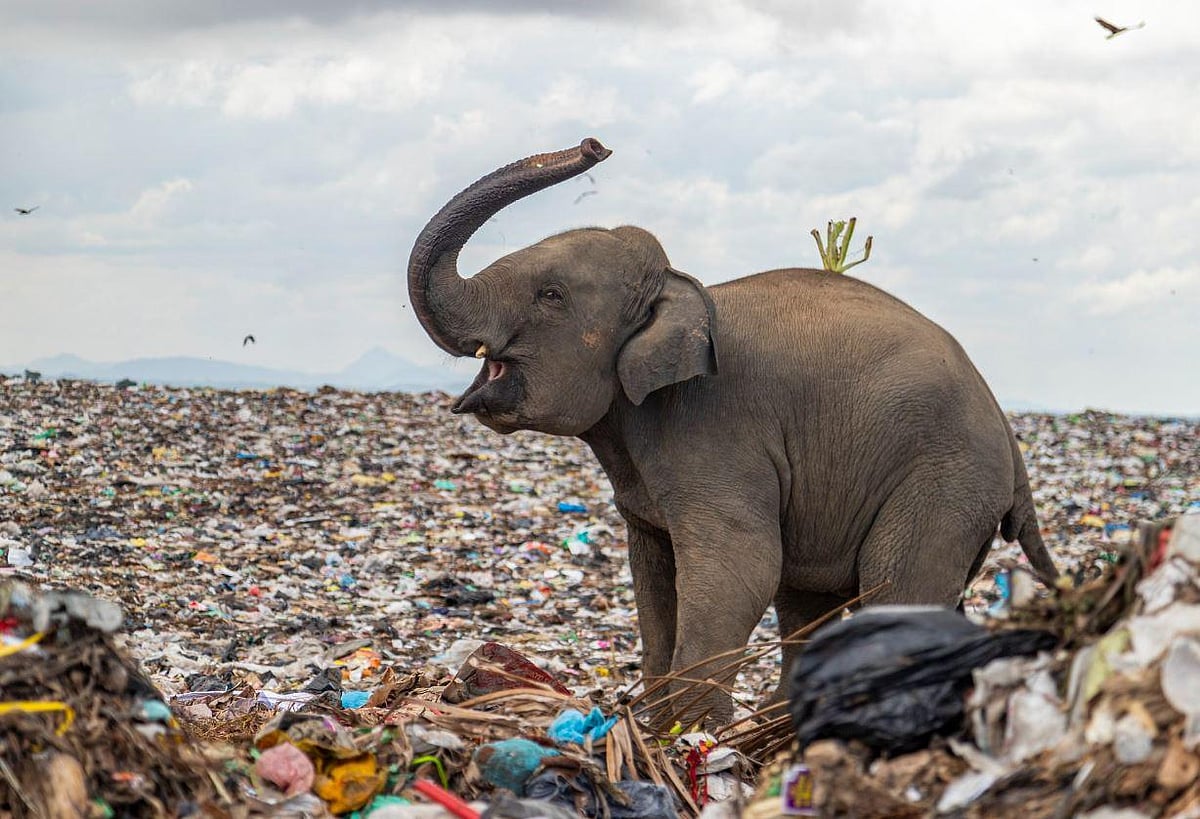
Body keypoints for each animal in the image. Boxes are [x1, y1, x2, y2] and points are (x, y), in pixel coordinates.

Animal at [406, 137, 1058, 725]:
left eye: (551, 295)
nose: (595, 146)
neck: (678, 286)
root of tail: (1008, 435)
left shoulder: (714, 430)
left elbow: (739, 567)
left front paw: (694, 734)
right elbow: (655, 576)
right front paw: (657, 728)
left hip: (947, 482)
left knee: (891, 588)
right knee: (810, 598)